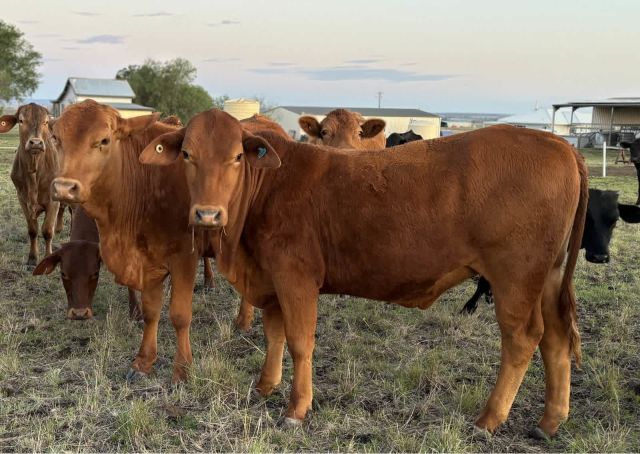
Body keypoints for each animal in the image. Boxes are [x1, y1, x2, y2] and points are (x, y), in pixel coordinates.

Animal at [0, 104, 65, 266]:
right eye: (21, 120)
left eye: (45, 122)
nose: (35, 143)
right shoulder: (23, 199)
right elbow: (33, 230)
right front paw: (32, 258)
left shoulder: (52, 200)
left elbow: (47, 230)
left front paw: (47, 258)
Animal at [140, 110, 588, 439]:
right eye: (187, 155)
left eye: (236, 157)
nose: (207, 214)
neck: (269, 186)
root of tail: (558, 144)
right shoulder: (271, 278)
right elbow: (274, 333)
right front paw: (266, 386)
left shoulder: (295, 277)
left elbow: (299, 342)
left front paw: (296, 408)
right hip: (548, 278)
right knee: (556, 339)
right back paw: (550, 421)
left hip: (516, 279)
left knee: (523, 339)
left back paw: (489, 419)